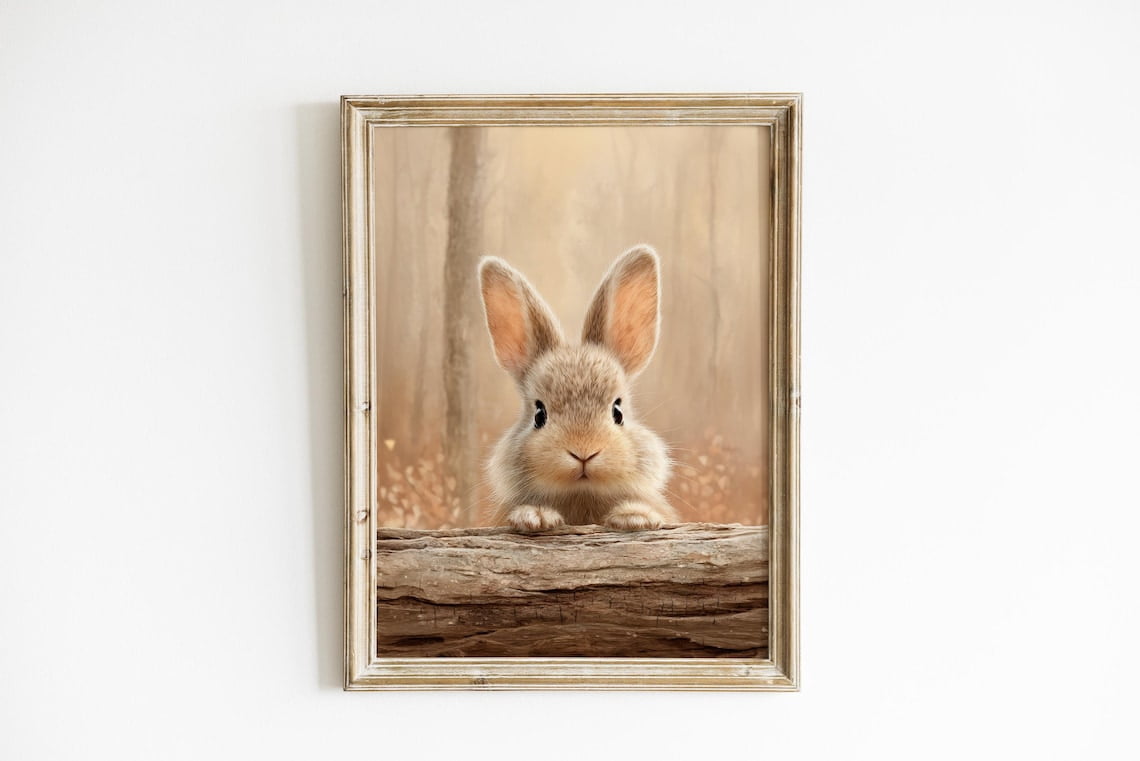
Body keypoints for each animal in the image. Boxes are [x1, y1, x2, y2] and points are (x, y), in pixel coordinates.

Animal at [477, 244, 678, 533]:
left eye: (618, 412)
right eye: (539, 414)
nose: (584, 451)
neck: (582, 495)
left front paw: (635, 517)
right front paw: (535, 516)